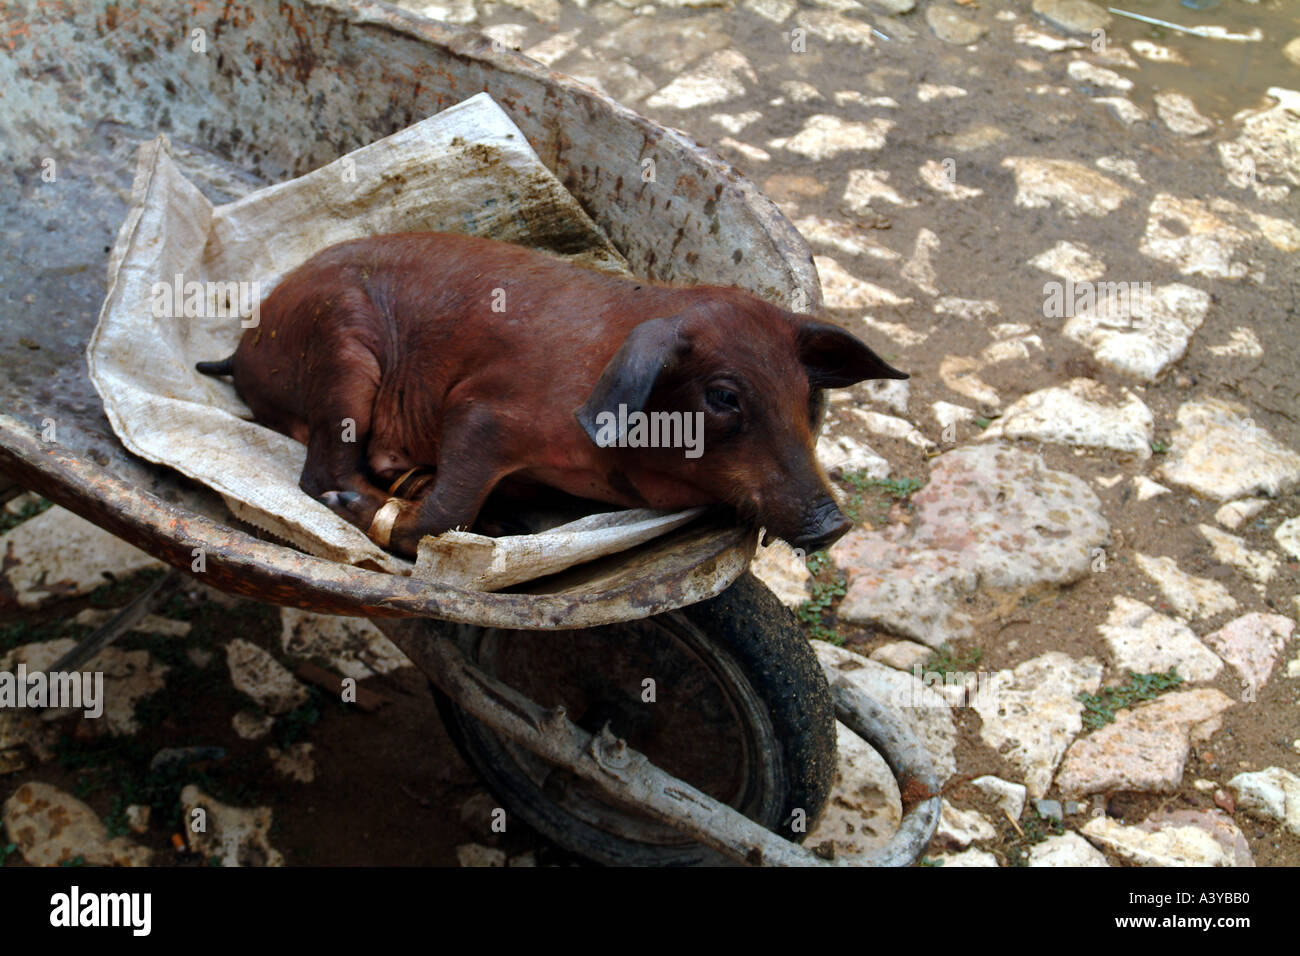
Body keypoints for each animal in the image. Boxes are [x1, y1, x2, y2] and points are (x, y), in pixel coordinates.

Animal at [196, 232, 907, 558]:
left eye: (805, 394)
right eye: (726, 397)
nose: (835, 523)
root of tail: (244, 346)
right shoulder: (482, 411)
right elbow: (446, 511)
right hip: (341, 348)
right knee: (319, 475)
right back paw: (356, 502)